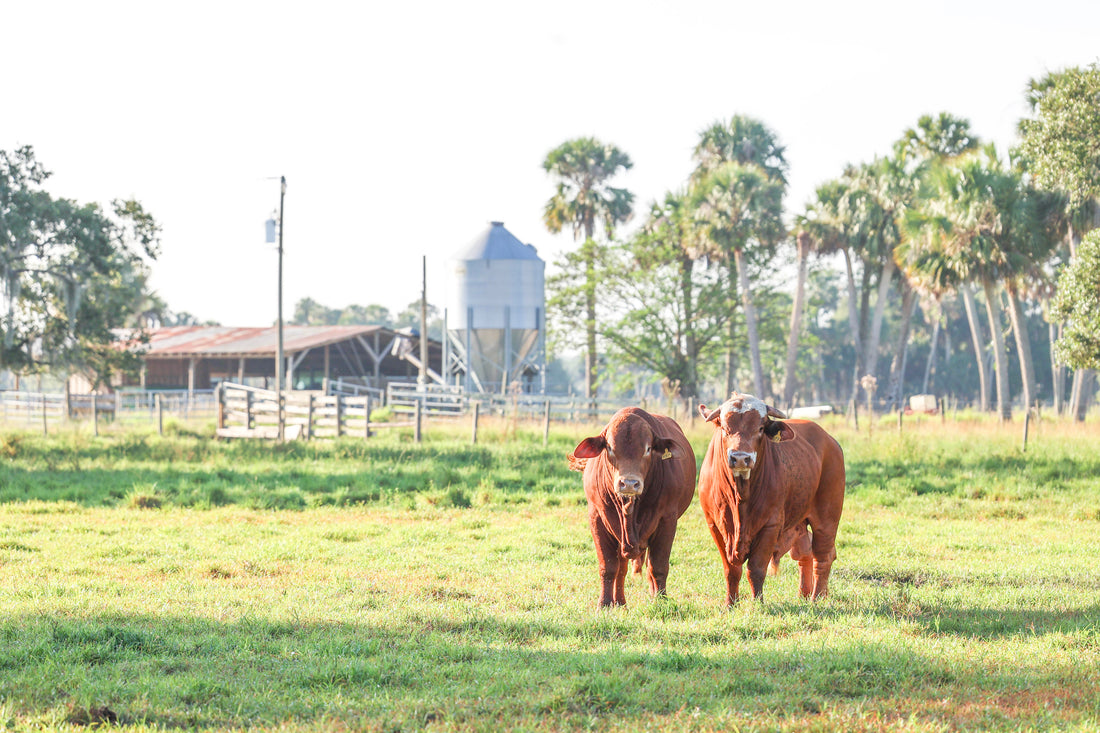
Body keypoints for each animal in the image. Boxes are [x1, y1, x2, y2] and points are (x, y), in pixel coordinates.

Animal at [569, 407, 696, 607]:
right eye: (610, 448)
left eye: (648, 449)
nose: (629, 483)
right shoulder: (597, 518)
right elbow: (608, 566)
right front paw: (604, 603)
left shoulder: (667, 520)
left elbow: (658, 566)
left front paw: (661, 601)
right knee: (621, 567)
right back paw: (620, 602)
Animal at [697, 393, 845, 605]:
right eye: (725, 428)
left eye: (760, 428)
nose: (740, 458)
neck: (740, 497)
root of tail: (829, 440)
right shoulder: (715, 525)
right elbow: (731, 570)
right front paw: (730, 604)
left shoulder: (769, 526)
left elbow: (756, 570)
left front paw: (757, 604)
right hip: (799, 522)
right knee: (805, 553)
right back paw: (804, 594)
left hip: (827, 517)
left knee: (823, 556)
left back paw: (816, 598)